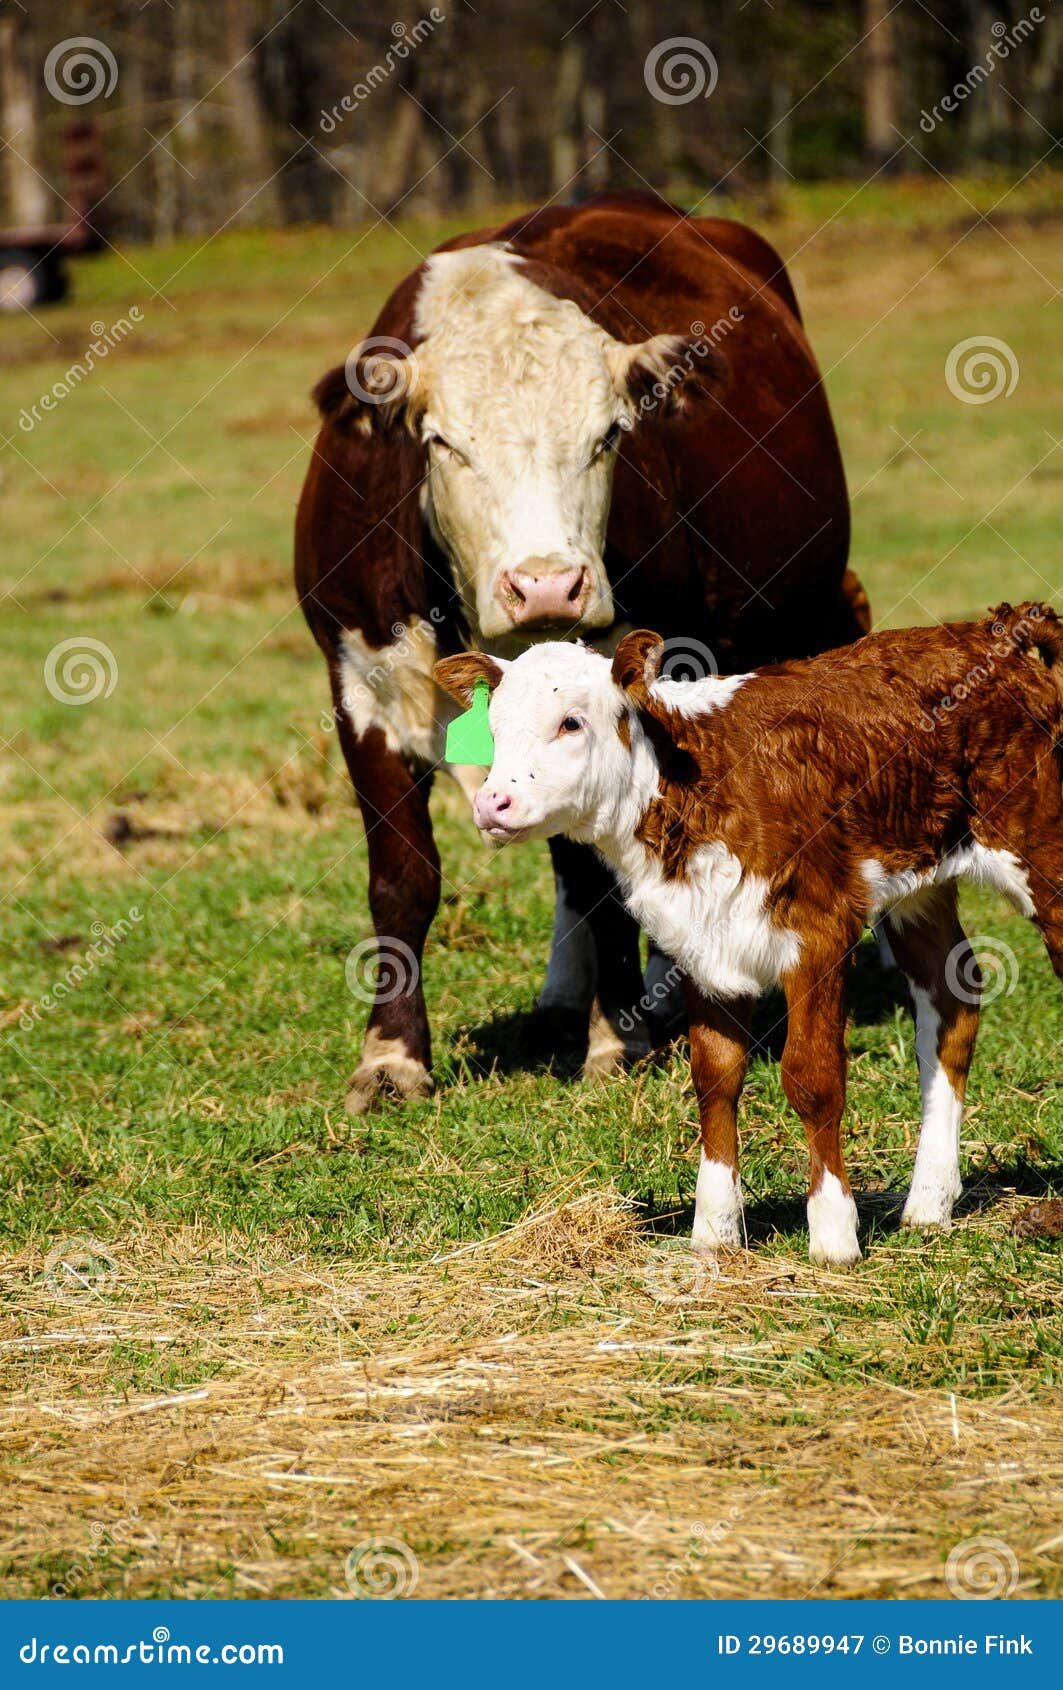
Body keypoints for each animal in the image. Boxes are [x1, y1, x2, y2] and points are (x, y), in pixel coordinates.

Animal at [295, 189, 869, 1114]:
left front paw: (617, 1037)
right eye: (442, 442)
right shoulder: (362, 687)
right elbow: (404, 876)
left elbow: (610, 882)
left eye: (608, 436)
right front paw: (390, 1058)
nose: (548, 586)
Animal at [436, 604, 1063, 1265]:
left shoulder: (818, 931)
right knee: (952, 1003)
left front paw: (833, 1233)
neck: (696, 781)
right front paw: (714, 1231)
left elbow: (812, 1078)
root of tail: (996, 630)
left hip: (1039, 846)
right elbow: (715, 1078)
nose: (492, 803)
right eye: (494, 729)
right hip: (918, 886)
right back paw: (929, 1202)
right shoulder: (701, 942)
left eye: (571, 722)